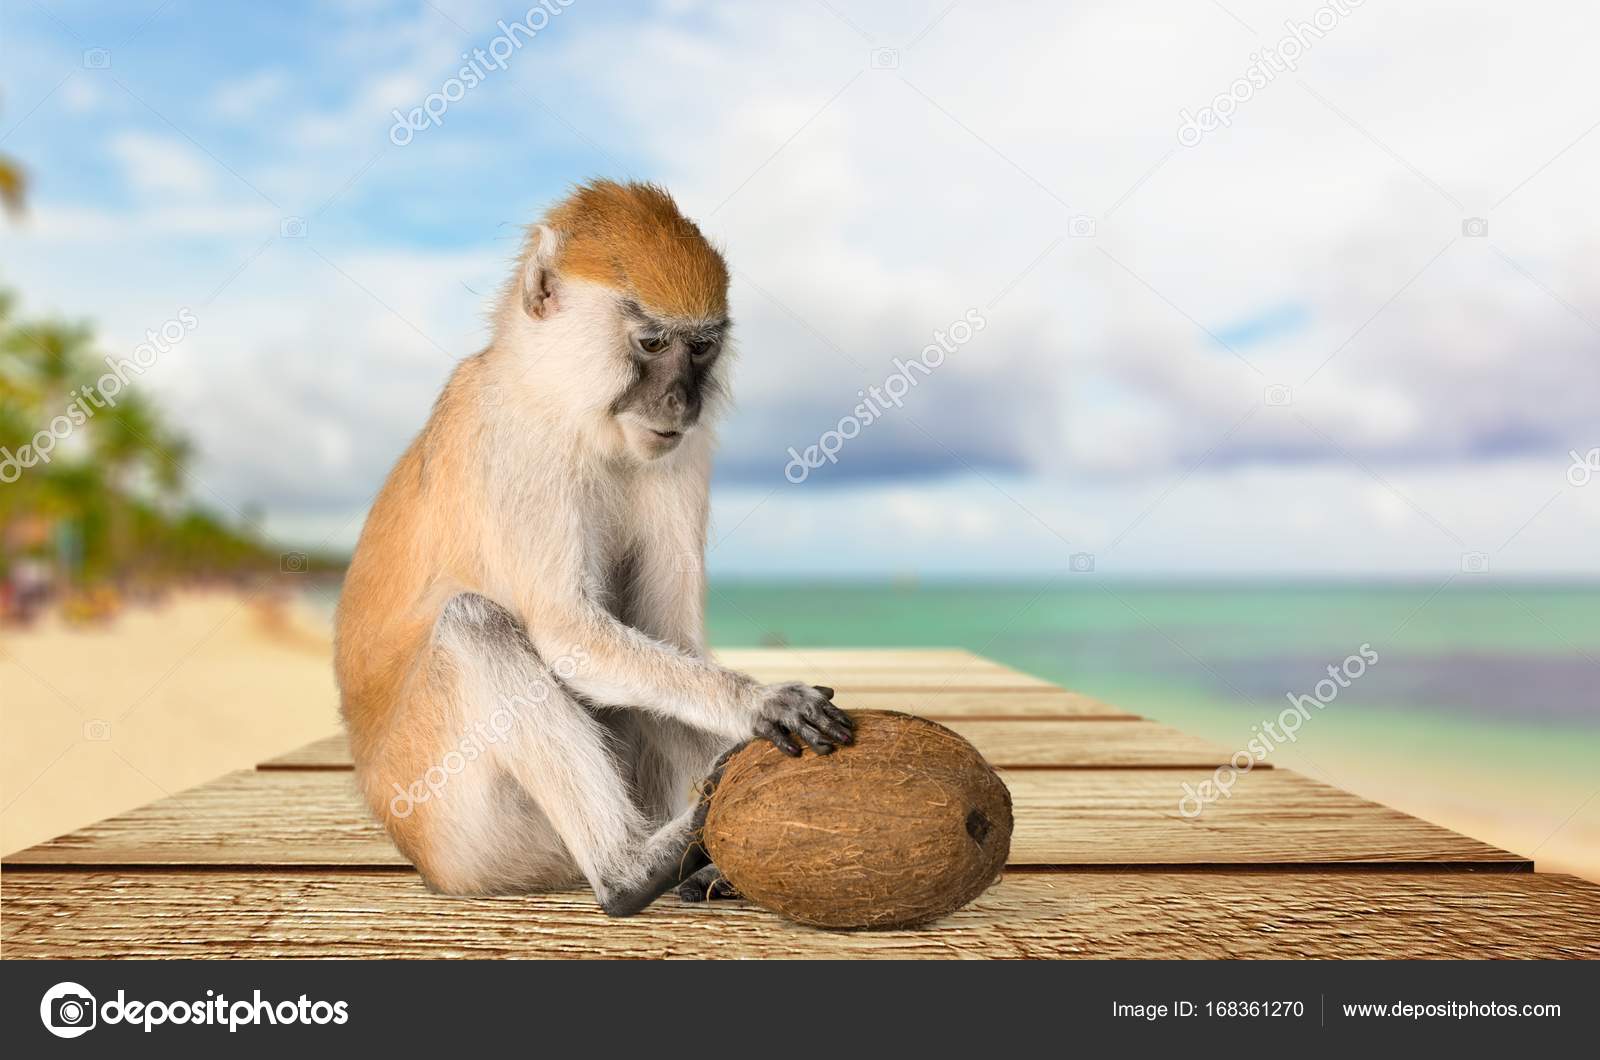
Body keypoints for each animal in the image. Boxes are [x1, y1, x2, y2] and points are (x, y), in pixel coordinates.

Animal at [334, 180, 853, 916]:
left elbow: (665, 634)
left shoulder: (679, 453)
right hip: (449, 813)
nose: (680, 401)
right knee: (473, 624)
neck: (555, 396)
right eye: (652, 342)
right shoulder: (517, 444)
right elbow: (564, 632)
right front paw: (762, 704)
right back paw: (630, 871)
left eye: (700, 350)